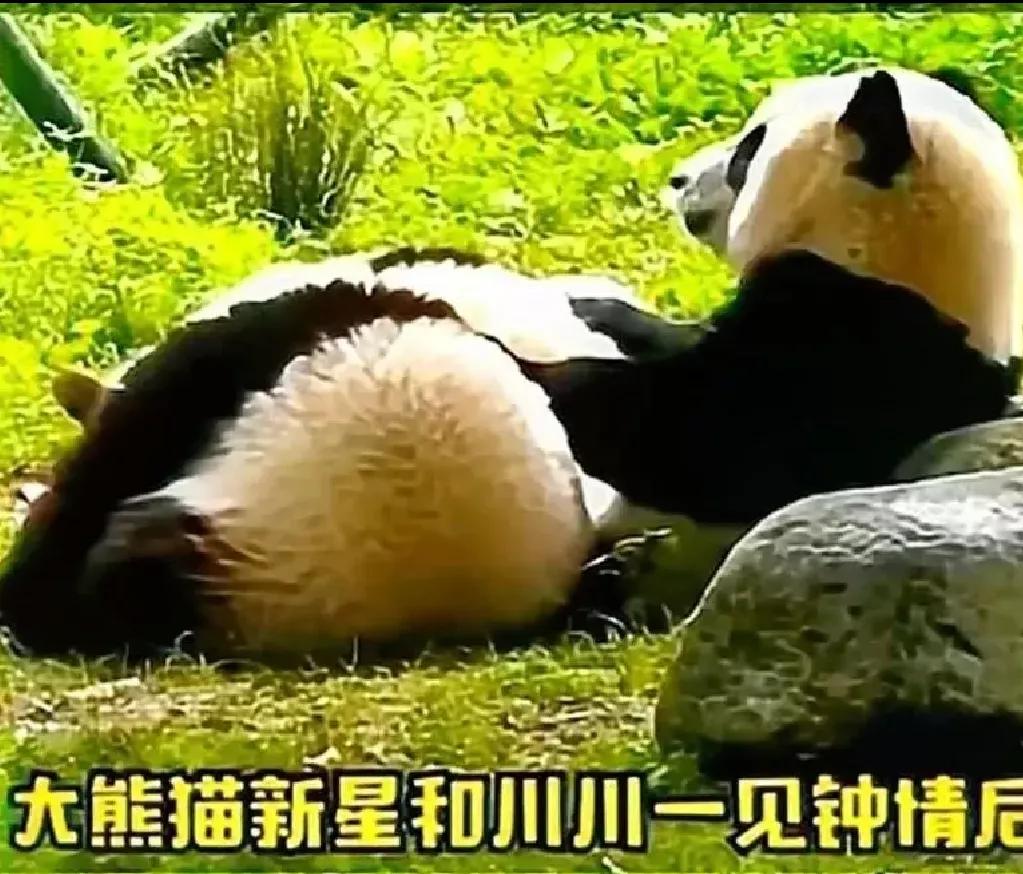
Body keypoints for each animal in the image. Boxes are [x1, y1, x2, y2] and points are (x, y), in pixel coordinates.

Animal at [514, 67, 1023, 527]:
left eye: (748, 150)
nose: (678, 179)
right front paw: (594, 308)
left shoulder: (851, 365)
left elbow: (692, 443)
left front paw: (523, 364)